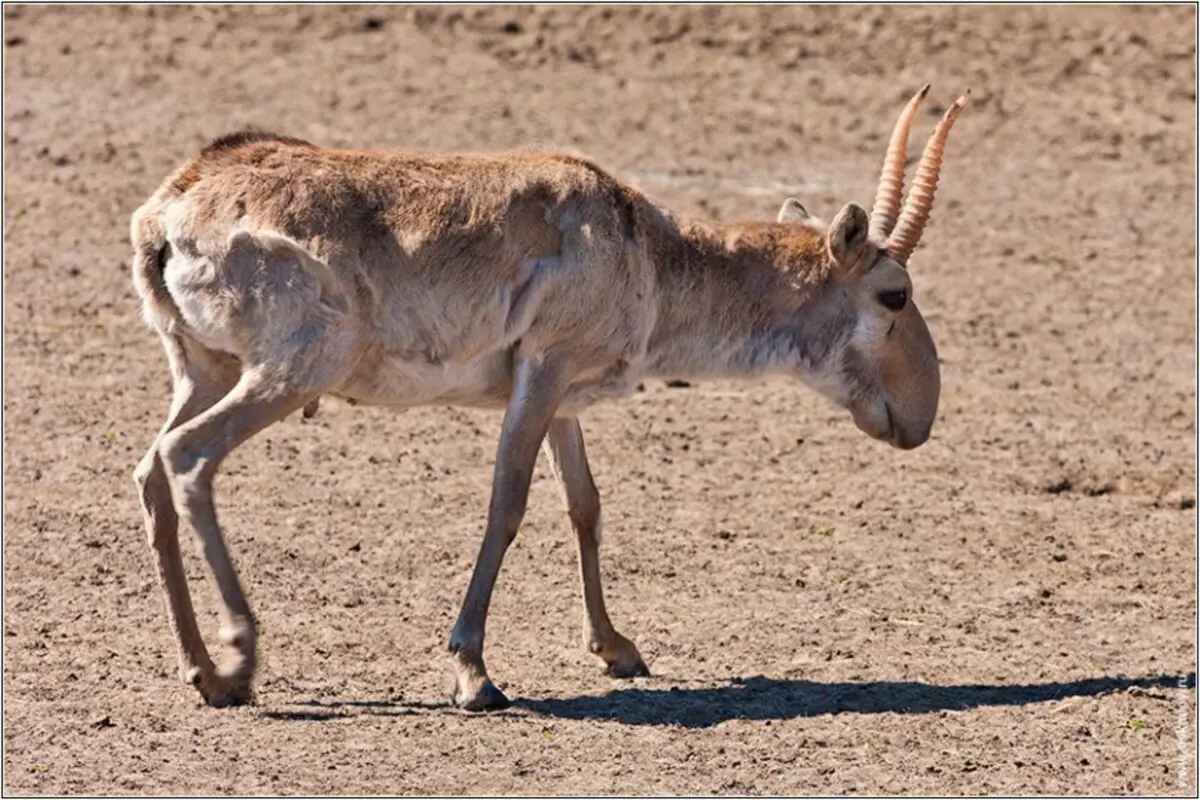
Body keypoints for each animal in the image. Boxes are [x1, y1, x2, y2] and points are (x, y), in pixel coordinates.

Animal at [133, 84, 964, 710]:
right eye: (894, 294)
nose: (921, 418)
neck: (650, 254)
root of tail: (167, 213)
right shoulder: (543, 369)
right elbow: (508, 504)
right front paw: (473, 674)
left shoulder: (566, 394)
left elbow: (585, 507)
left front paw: (618, 647)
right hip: (295, 366)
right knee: (188, 456)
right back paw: (241, 659)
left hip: (203, 367)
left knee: (149, 469)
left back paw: (202, 670)